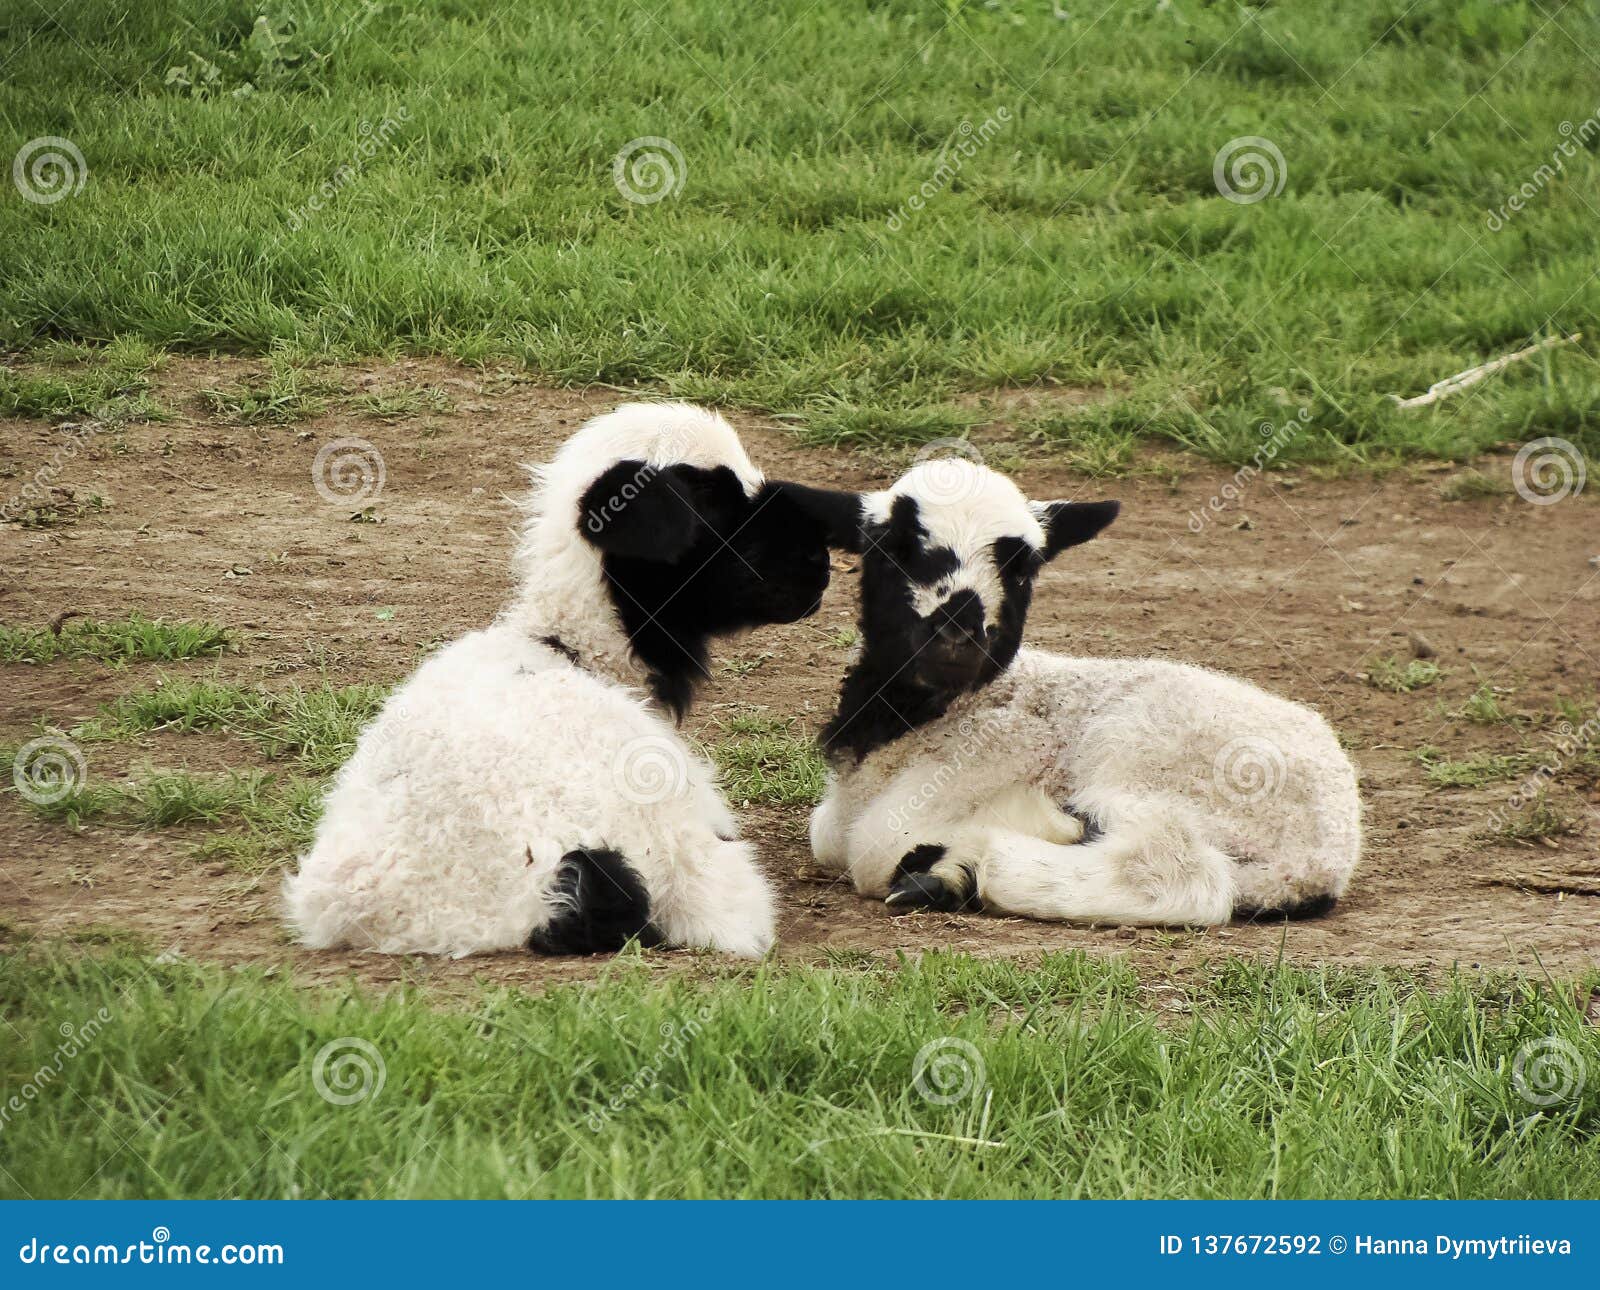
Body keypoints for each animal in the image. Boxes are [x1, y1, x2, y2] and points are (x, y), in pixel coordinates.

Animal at [804, 458, 1362, 927]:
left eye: (1023, 570)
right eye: (889, 551)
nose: (957, 635)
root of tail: (1326, 856)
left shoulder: (1006, 747)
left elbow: (875, 842)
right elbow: (825, 832)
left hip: (1153, 760)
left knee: (1179, 871)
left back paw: (968, 864)